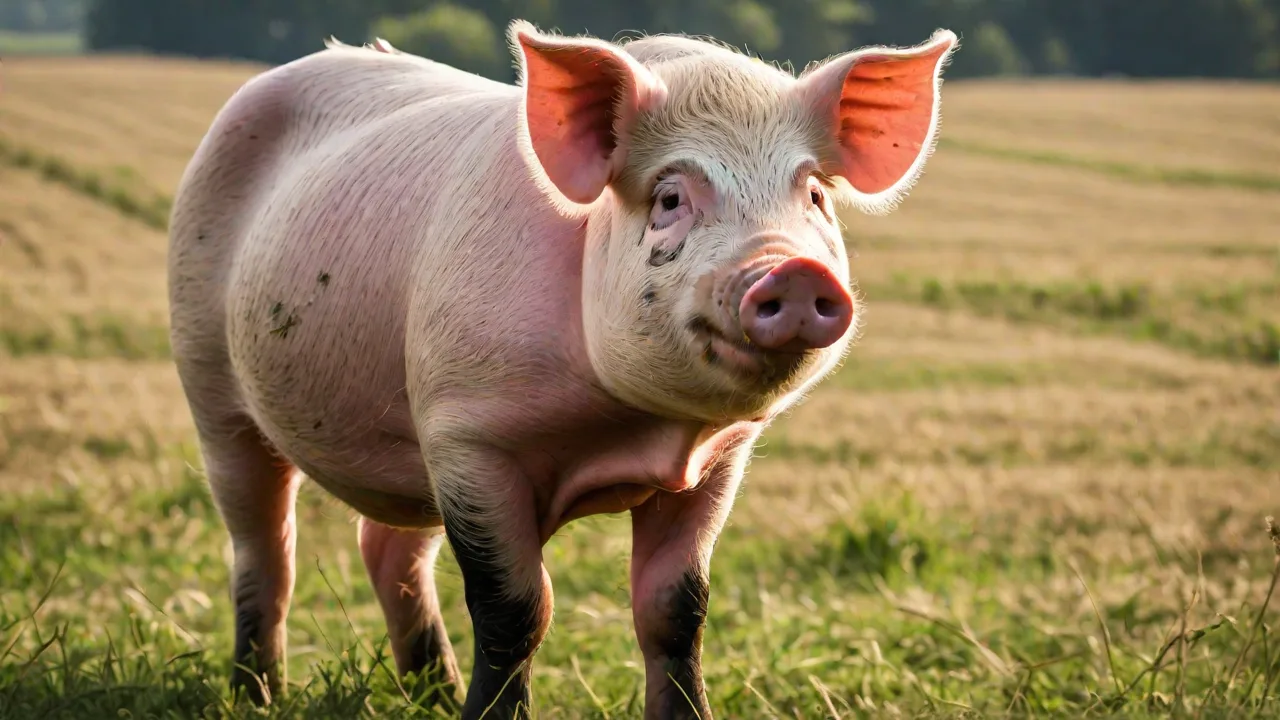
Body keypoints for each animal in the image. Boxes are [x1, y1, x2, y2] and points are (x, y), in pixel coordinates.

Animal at [167, 18, 957, 720]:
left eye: (814, 196)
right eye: (670, 197)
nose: (791, 270)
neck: (633, 429)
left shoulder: (719, 457)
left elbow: (677, 608)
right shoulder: (470, 435)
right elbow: (514, 608)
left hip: (409, 436)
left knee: (389, 551)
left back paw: (433, 697)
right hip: (210, 380)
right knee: (265, 547)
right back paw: (259, 696)